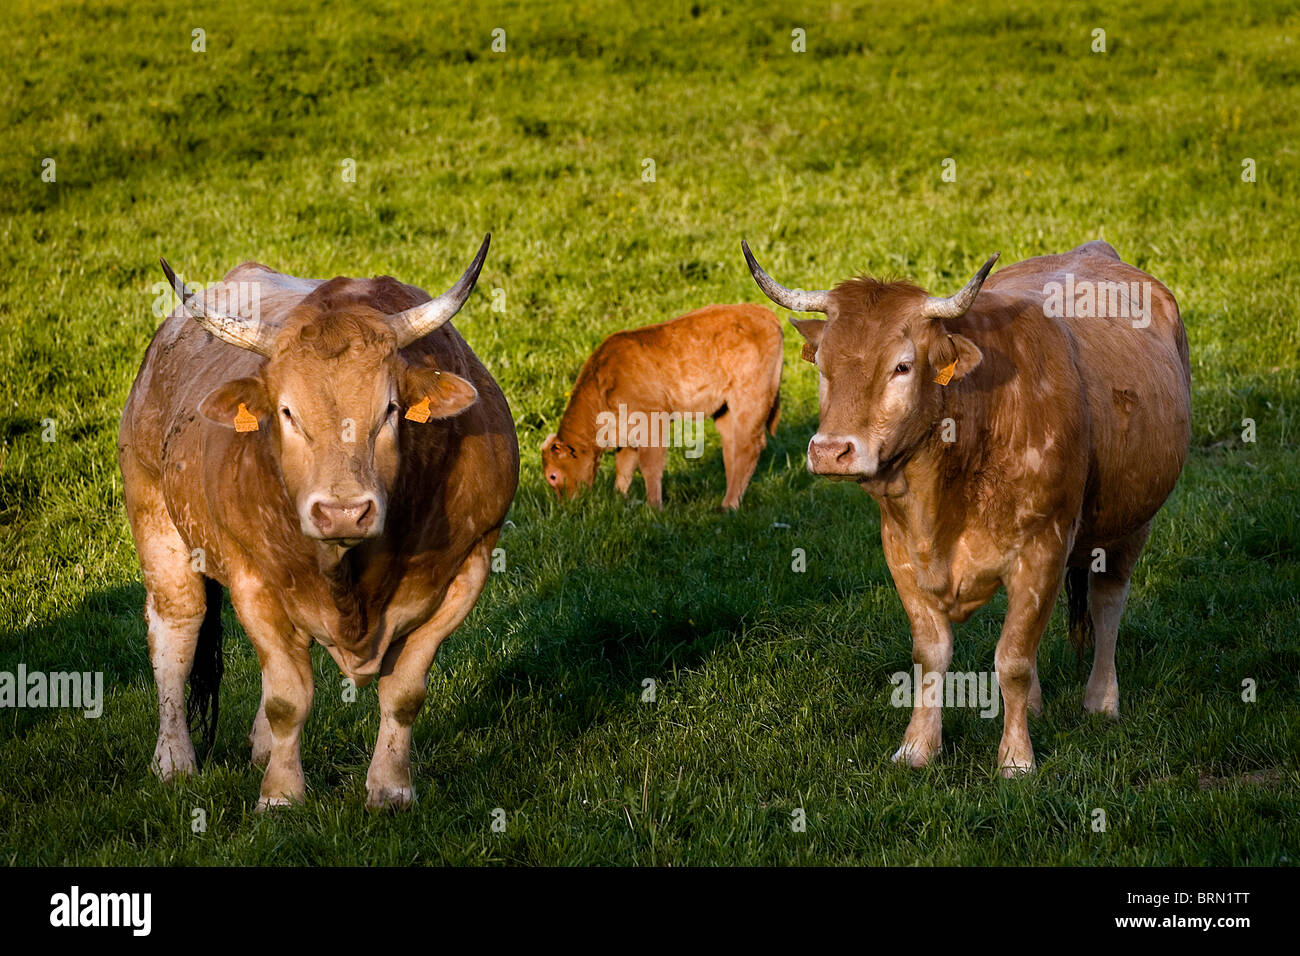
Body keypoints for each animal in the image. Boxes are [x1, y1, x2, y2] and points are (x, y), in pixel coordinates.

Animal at [118, 235, 519, 810]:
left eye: (390, 409)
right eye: (287, 412)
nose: (342, 512)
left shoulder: (468, 568)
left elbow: (403, 693)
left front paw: (390, 789)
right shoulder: (252, 579)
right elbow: (288, 699)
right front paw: (281, 796)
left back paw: (261, 748)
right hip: (155, 517)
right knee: (177, 631)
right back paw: (174, 761)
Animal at [542, 304, 784, 510]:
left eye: (553, 476)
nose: (566, 506)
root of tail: (764, 313)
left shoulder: (652, 421)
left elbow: (650, 467)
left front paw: (654, 508)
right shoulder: (627, 432)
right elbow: (624, 467)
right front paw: (619, 499)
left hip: (750, 396)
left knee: (748, 446)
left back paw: (729, 505)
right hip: (724, 408)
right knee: (731, 446)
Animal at [743, 239, 1190, 775]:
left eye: (902, 366)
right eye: (823, 366)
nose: (831, 451)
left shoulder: (1043, 547)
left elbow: (1012, 659)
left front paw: (1016, 760)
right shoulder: (901, 553)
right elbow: (932, 654)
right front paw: (917, 747)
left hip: (1129, 525)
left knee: (1107, 605)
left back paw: (1101, 701)